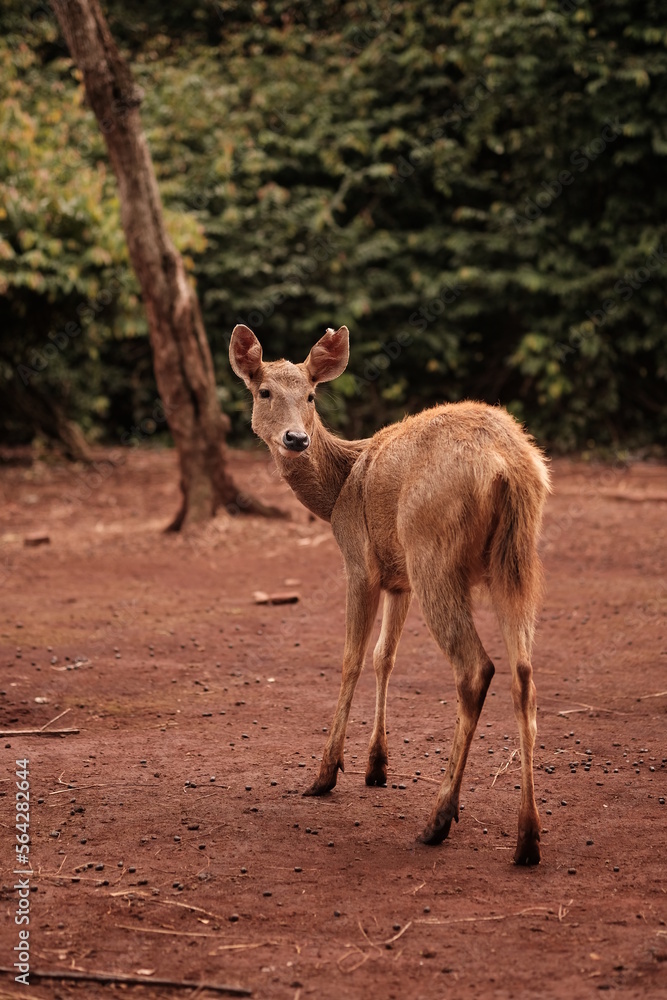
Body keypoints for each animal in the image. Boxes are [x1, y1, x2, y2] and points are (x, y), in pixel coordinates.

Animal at [229, 324, 551, 865]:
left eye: (311, 394)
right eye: (264, 392)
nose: (295, 438)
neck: (339, 489)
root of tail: (508, 468)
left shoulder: (360, 563)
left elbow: (351, 659)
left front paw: (324, 773)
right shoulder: (397, 577)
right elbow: (385, 657)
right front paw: (376, 766)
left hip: (433, 551)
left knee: (476, 668)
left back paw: (438, 820)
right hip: (518, 561)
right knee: (525, 675)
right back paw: (527, 838)